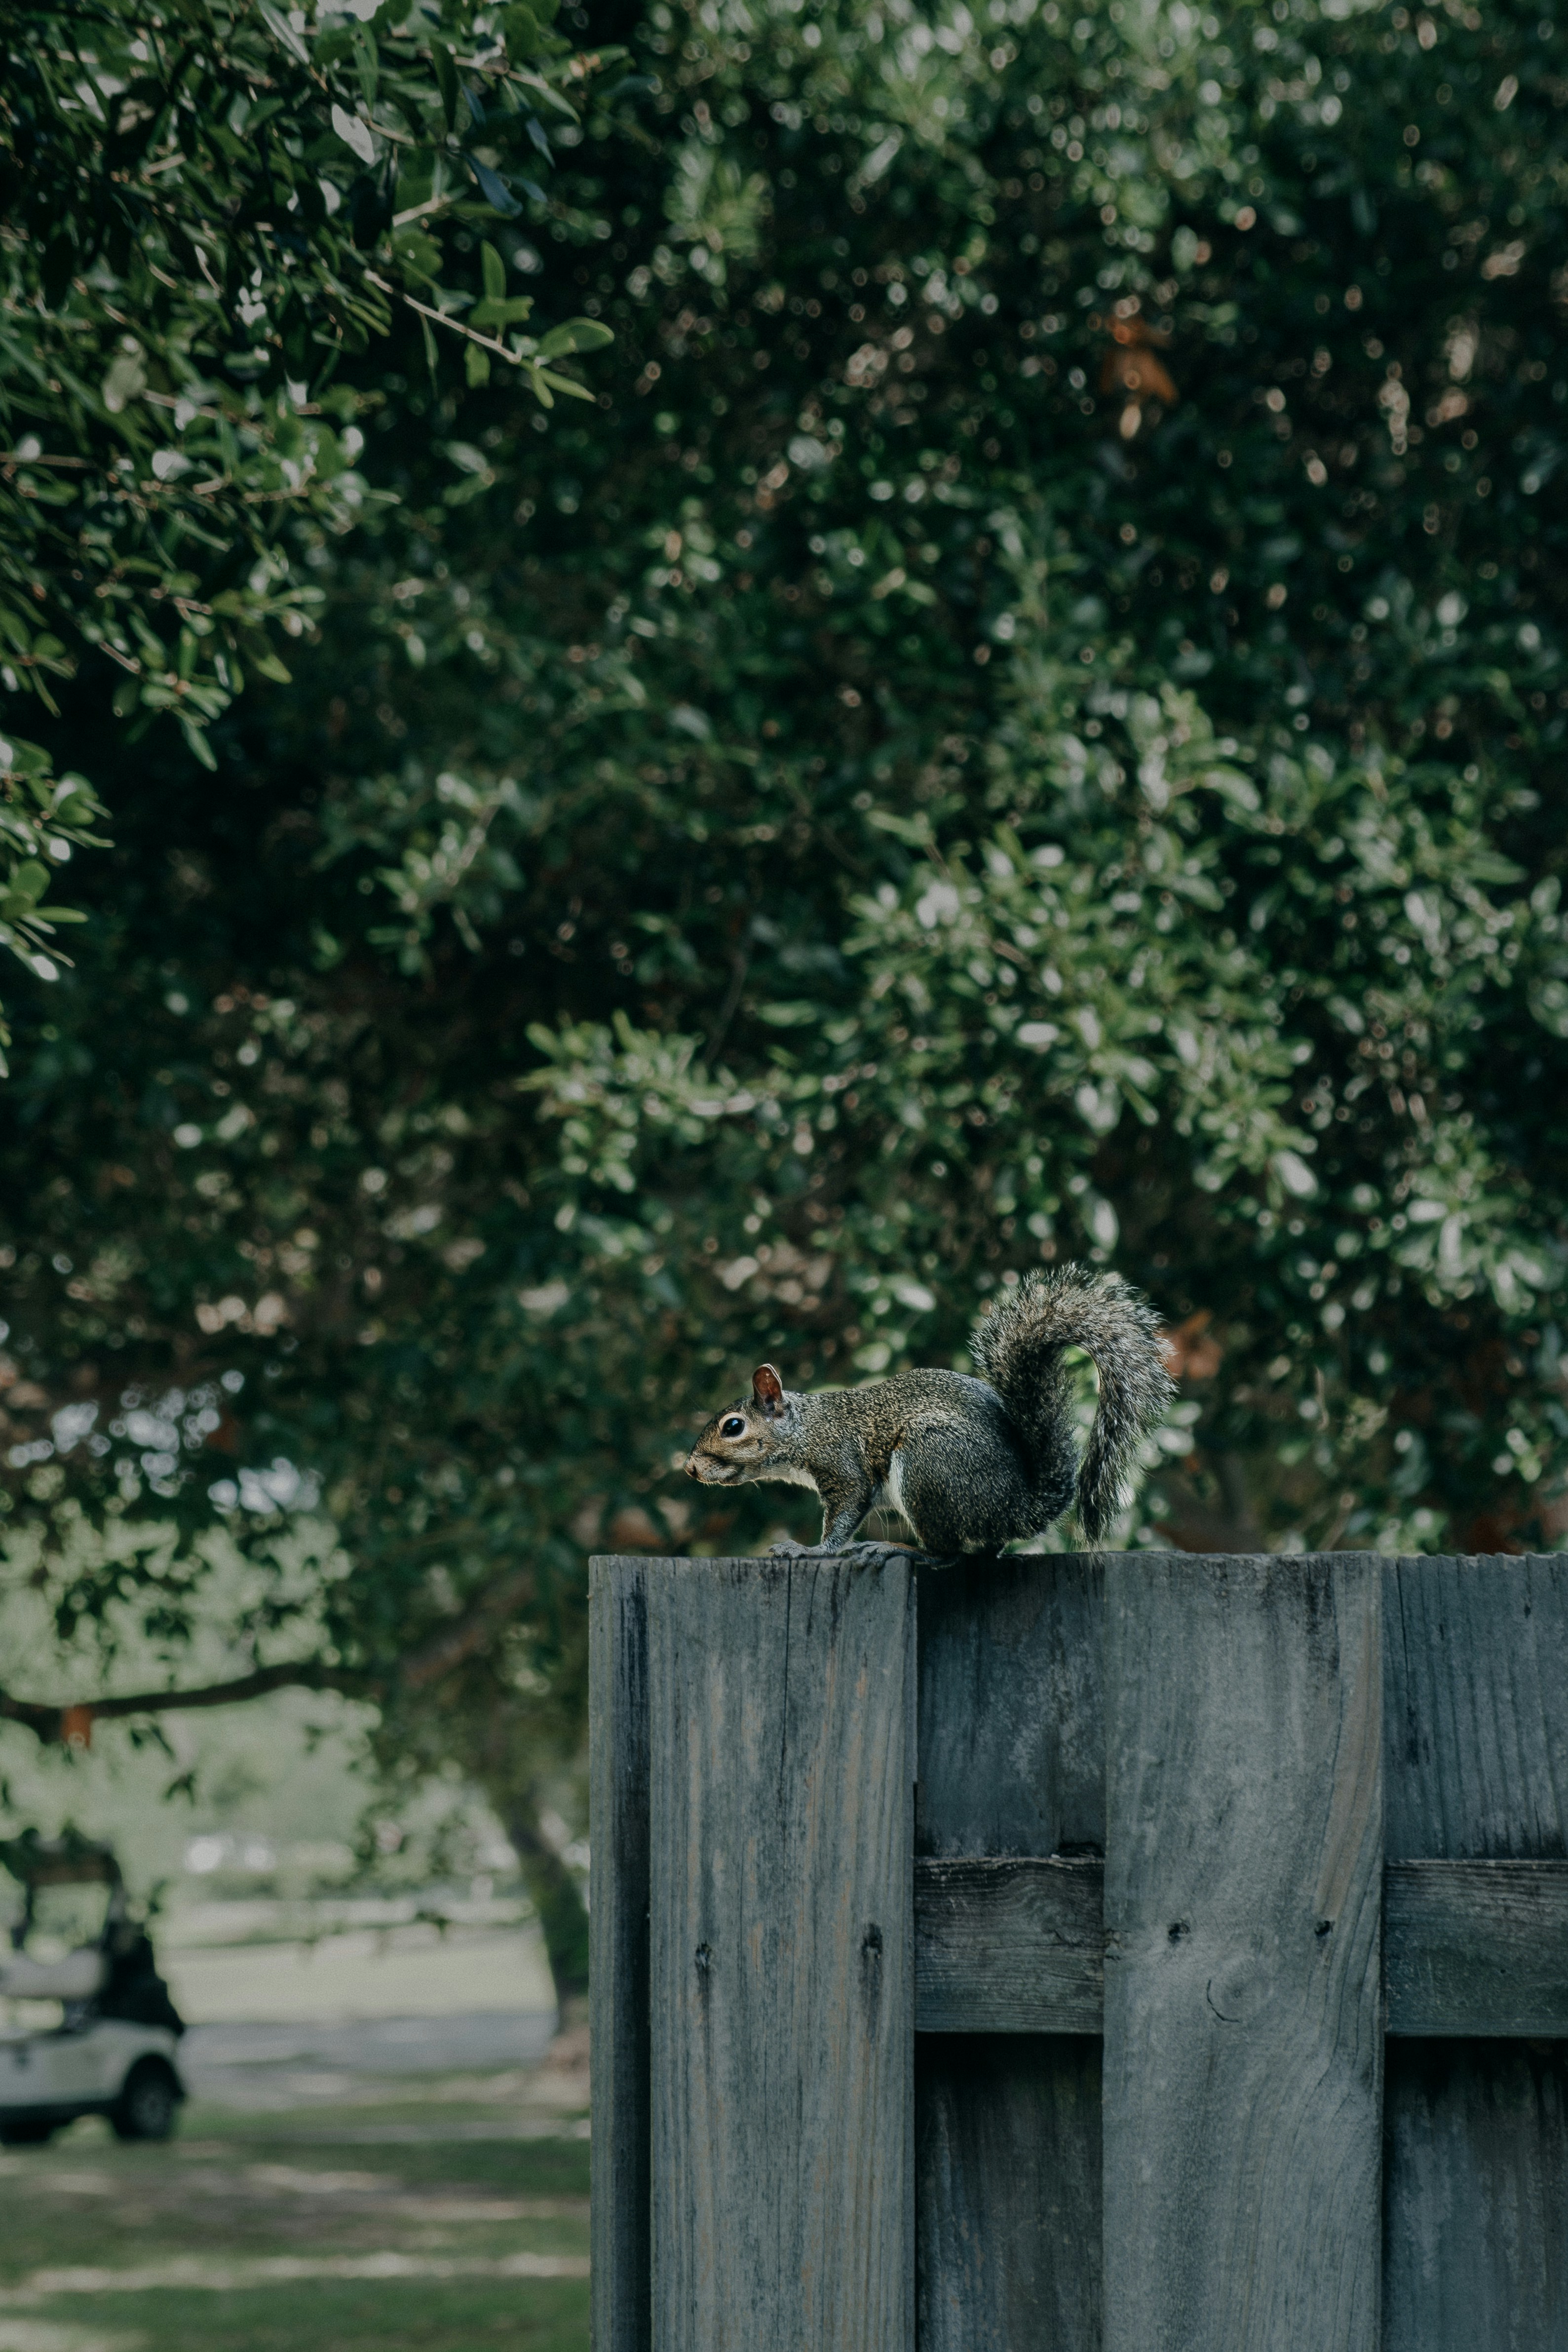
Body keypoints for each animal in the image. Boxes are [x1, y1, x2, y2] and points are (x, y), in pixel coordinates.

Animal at [684, 1262, 1173, 1554]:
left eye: (732, 1426)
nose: (689, 1467)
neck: (806, 1429)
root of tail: (1018, 1506)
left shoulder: (840, 1463)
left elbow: (846, 1509)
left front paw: (811, 1551)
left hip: (927, 1463)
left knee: (948, 1554)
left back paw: (898, 1549)